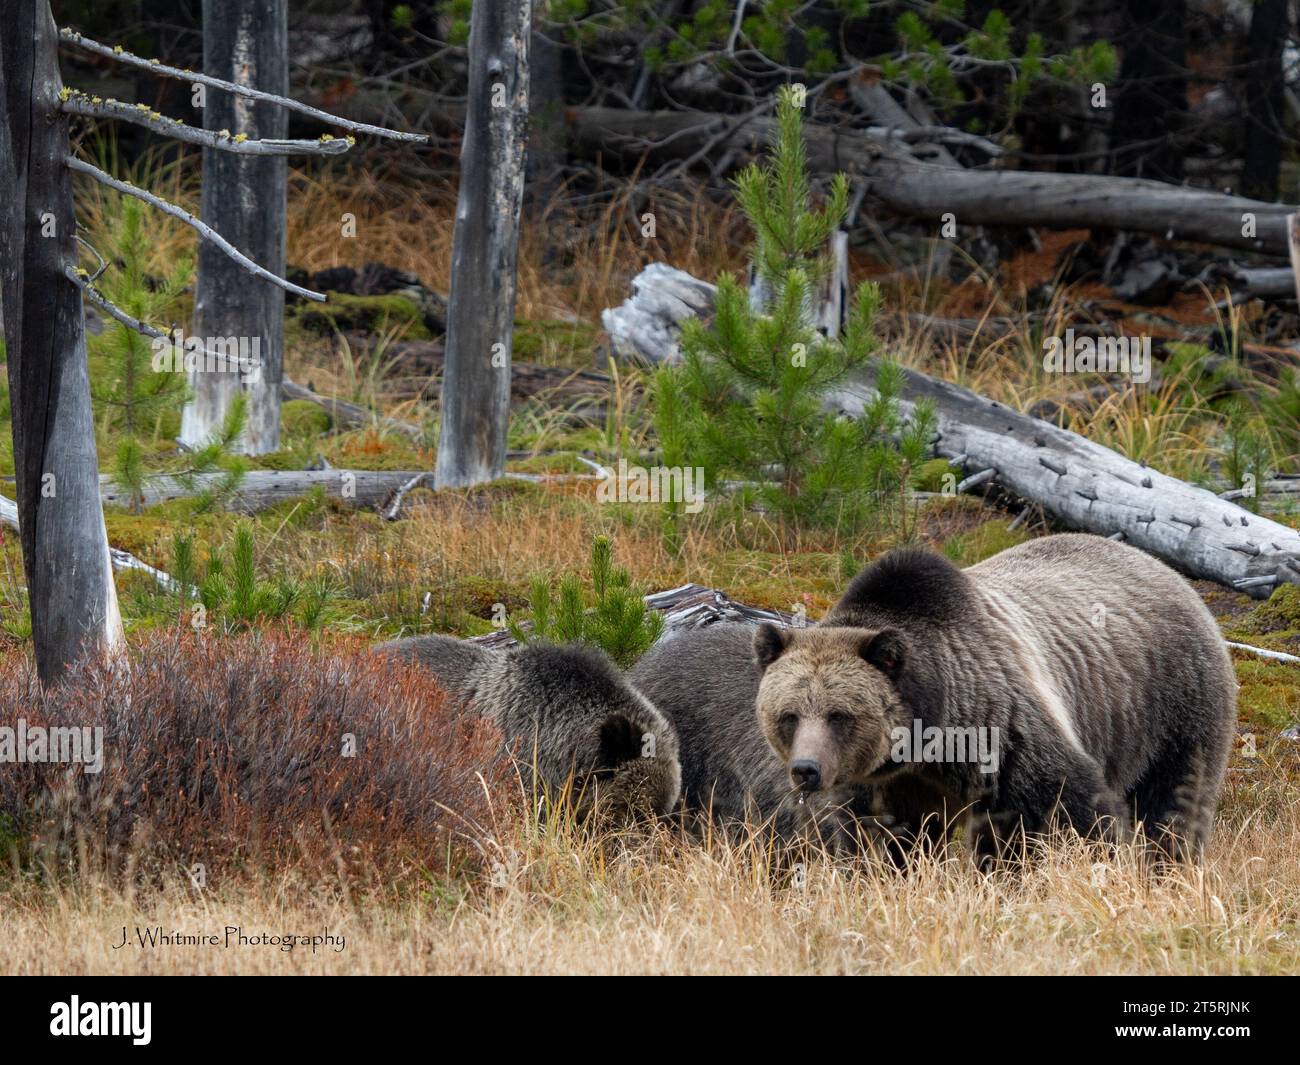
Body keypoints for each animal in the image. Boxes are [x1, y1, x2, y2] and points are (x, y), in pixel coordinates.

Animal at [753, 533, 1238, 859]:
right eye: (789, 715)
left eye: (840, 715)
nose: (807, 770)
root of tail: (1168, 571)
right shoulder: (884, 780)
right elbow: (881, 834)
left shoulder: (1000, 724)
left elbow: (1060, 807)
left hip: (1173, 702)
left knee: (1175, 800)